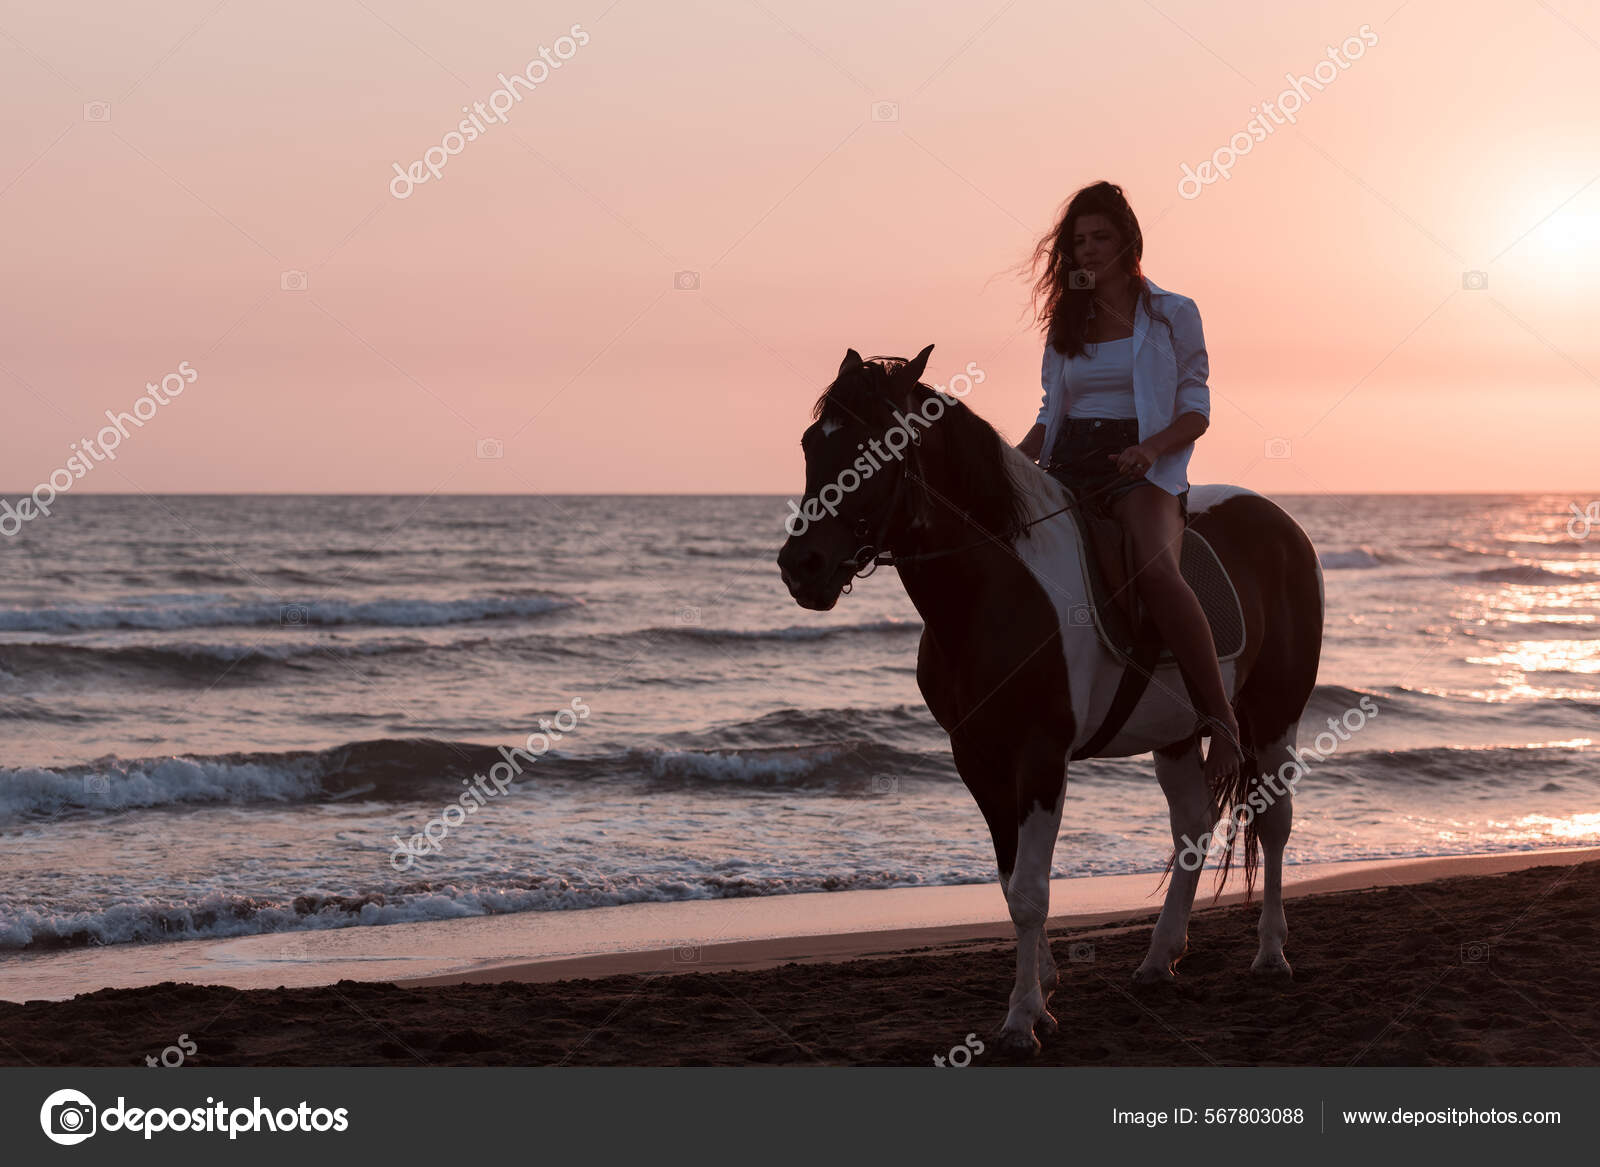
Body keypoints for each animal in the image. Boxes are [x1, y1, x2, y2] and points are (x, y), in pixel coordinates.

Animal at [776, 345, 1324, 1058]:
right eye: (812, 442)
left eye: (882, 447)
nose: (802, 567)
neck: (993, 588)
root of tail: (1282, 524)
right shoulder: (977, 757)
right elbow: (1011, 882)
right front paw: (1044, 993)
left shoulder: (1040, 755)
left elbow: (1033, 892)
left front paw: (1020, 1021)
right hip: (1178, 733)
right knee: (1193, 826)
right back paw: (1159, 959)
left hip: (1273, 716)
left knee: (1275, 822)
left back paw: (1270, 955)